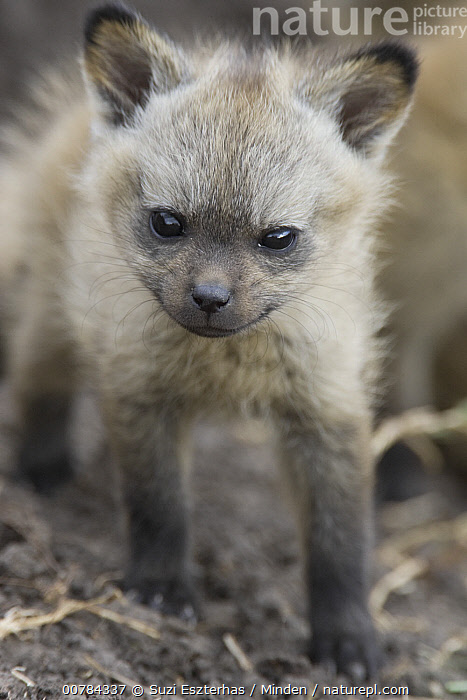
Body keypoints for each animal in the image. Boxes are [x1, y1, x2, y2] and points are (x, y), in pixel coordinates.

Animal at [0, 3, 418, 678]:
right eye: (168, 223)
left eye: (278, 238)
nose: (210, 298)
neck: (227, 364)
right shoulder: (139, 391)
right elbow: (159, 506)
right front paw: (161, 591)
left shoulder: (328, 407)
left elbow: (340, 540)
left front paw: (348, 637)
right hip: (53, 319)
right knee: (38, 386)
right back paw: (43, 476)